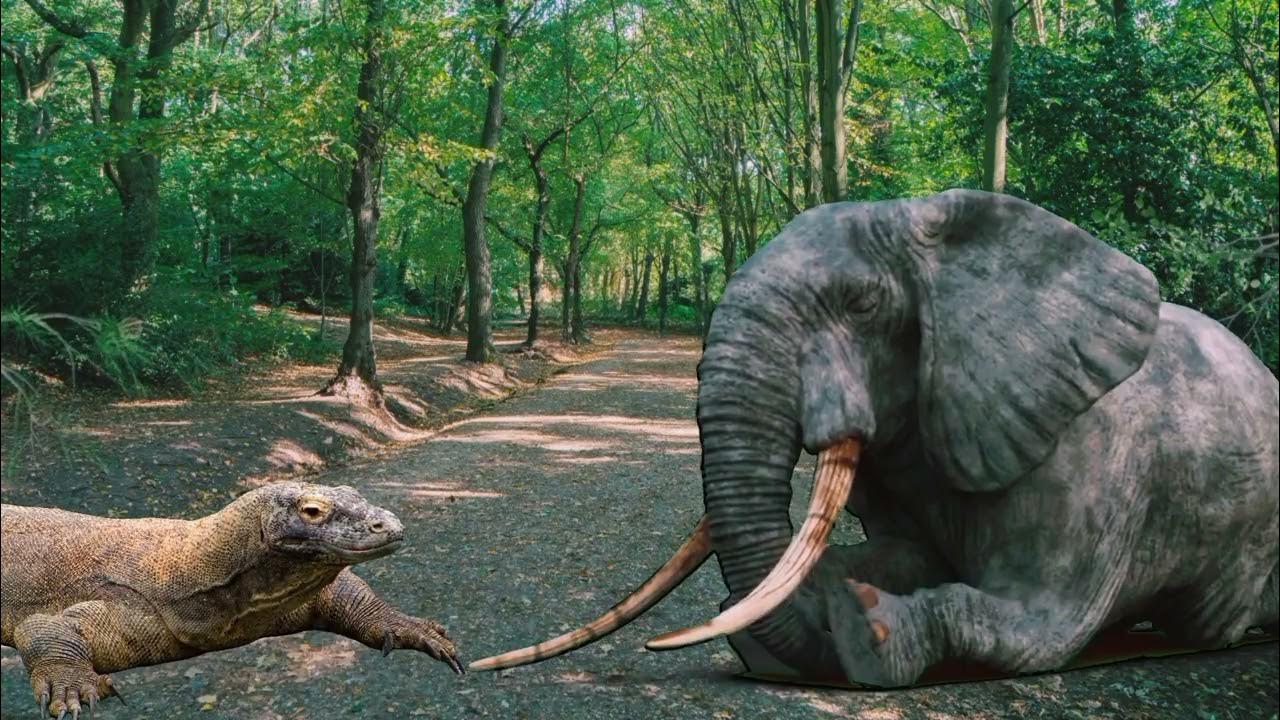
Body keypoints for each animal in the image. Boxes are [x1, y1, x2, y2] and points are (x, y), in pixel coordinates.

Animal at [471, 189, 1280, 687]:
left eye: (861, 304)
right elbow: (902, 555)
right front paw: (790, 612)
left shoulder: (1091, 459)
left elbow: (1041, 624)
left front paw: (864, 630)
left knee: (1201, 618)